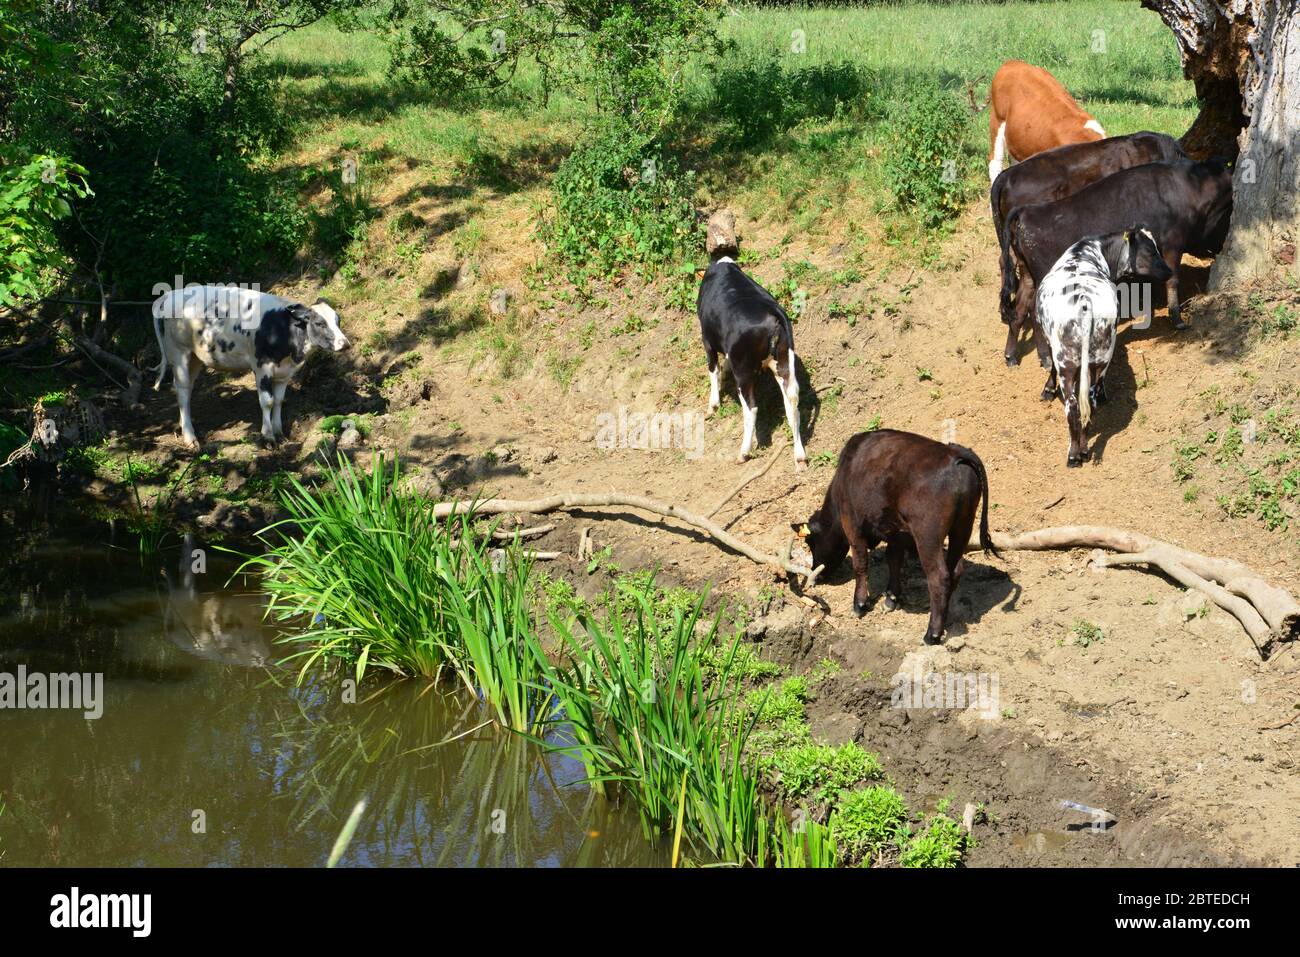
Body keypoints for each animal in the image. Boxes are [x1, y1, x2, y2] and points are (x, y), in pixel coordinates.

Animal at [152, 284, 350, 449]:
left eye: (338, 320)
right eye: (319, 323)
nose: (345, 344)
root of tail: (170, 294)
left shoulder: (285, 372)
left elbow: (279, 400)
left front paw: (279, 433)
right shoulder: (262, 367)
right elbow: (267, 401)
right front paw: (268, 437)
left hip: (195, 357)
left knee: (187, 388)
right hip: (179, 353)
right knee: (182, 389)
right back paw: (190, 437)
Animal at [697, 211, 807, 470]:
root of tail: (774, 312)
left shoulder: (707, 340)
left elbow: (713, 370)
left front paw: (713, 405)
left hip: (744, 369)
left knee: (751, 408)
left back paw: (744, 452)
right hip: (784, 362)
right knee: (793, 403)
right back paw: (800, 455)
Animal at [792, 429, 996, 645]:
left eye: (810, 542)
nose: (817, 573)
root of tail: (955, 453)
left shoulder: (852, 525)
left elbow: (861, 564)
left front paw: (860, 604)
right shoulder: (898, 533)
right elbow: (893, 560)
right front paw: (891, 598)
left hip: (928, 536)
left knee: (939, 577)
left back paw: (932, 634)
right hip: (963, 527)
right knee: (955, 570)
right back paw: (944, 620)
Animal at [999, 158, 1234, 371]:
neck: (1189, 187)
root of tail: (1027, 211)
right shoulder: (1172, 246)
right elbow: (1173, 279)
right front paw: (1177, 319)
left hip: (1027, 274)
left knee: (1020, 308)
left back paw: (1011, 356)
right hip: (1043, 275)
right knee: (1033, 310)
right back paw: (1046, 358)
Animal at [1036, 228, 1173, 466]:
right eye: (1150, 251)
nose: (1169, 271)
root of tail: (1084, 303)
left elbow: (1050, 366)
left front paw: (1047, 390)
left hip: (1067, 362)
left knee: (1073, 405)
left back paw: (1074, 455)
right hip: (1100, 356)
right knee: (1089, 401)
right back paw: (1083, 449)